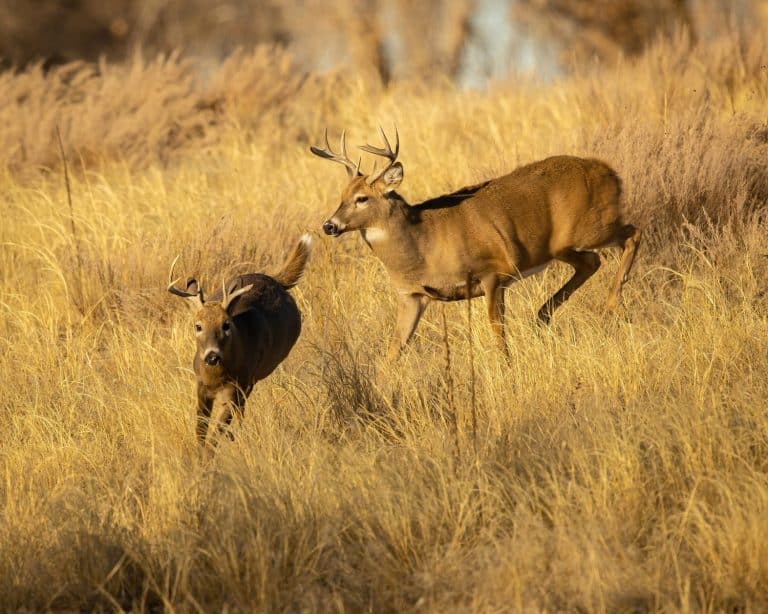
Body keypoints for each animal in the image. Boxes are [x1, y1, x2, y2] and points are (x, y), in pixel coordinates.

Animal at [168, 234, 312, 453]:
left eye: (226, 324)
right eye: (197, 326)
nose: (212, 356)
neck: (216, 377)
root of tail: (275, 279)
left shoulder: (236, 385)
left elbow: (215, 433)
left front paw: (208, 456)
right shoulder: (201, 385)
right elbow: (200, 430)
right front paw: (198, 455)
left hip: (251, 378)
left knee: (239, 411)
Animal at [310, 128, 641, 360]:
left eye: (362, 198)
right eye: (342, 196)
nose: (329, 225)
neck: (424, 246)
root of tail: (610, 172)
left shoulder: (494, 271)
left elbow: (497, 331)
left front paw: (507, 369)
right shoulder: (412, 296)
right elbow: (393, 350)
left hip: (587, 229)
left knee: (632, 234)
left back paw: (612, 304)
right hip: (565, 247)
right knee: (592, 262)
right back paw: (543, 316)